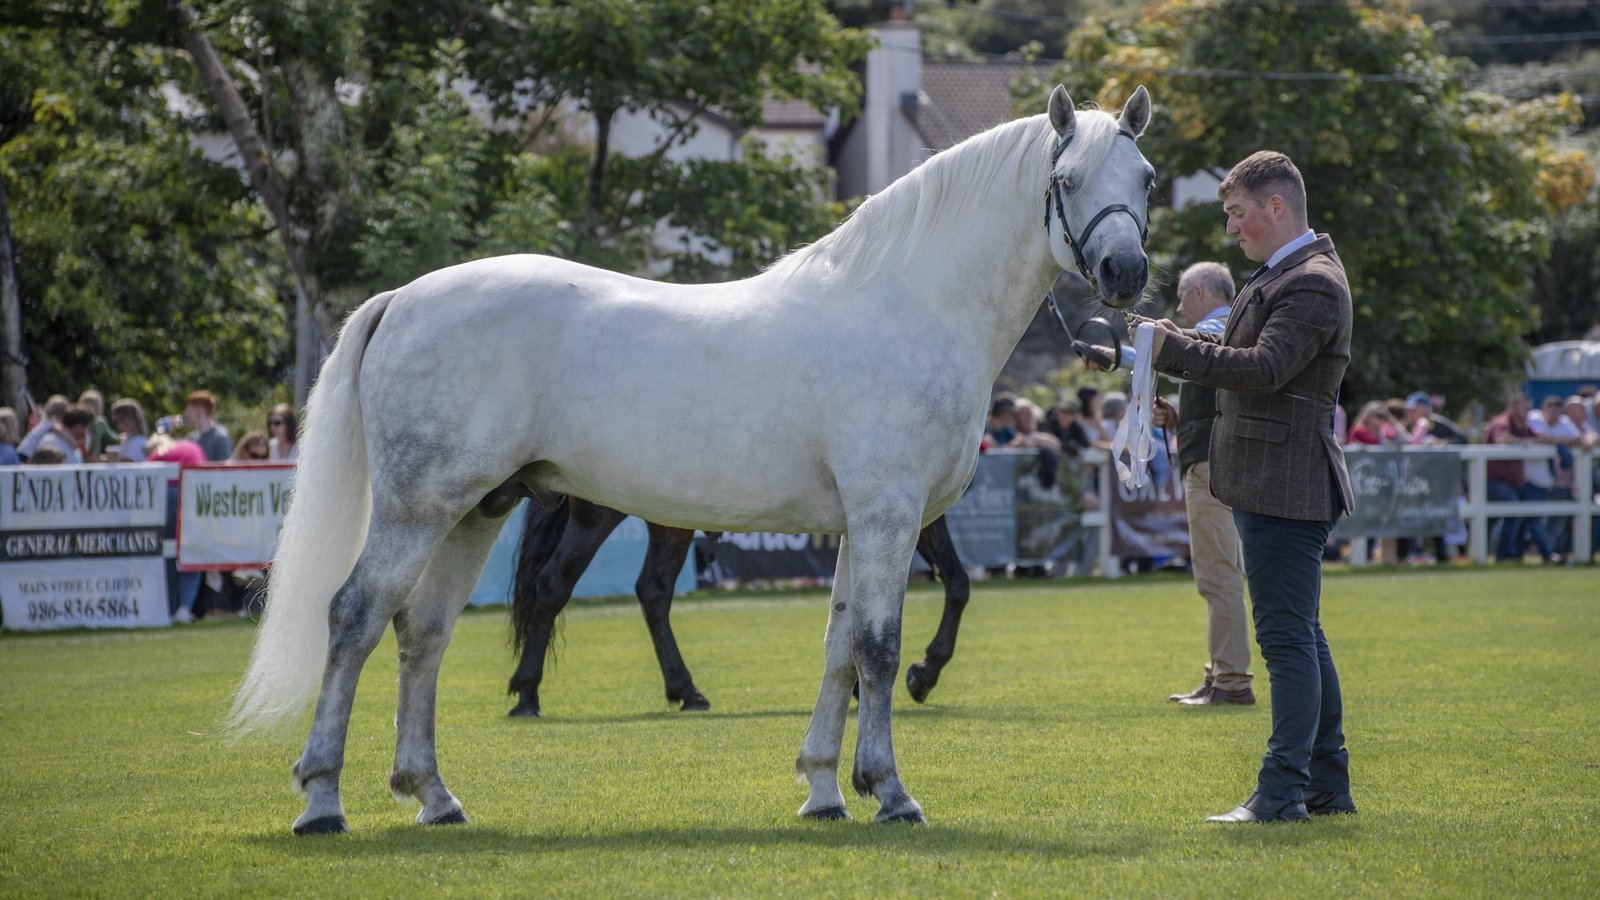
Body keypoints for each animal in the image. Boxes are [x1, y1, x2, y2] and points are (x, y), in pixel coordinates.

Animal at [504, 501, 972, 718]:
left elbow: (955, 584)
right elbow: (955, 584)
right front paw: (924, 671)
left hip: (670, 525)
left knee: (653, 591)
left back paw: (686, 690)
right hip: (595, 515)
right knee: (553, 585)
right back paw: (528, 692)